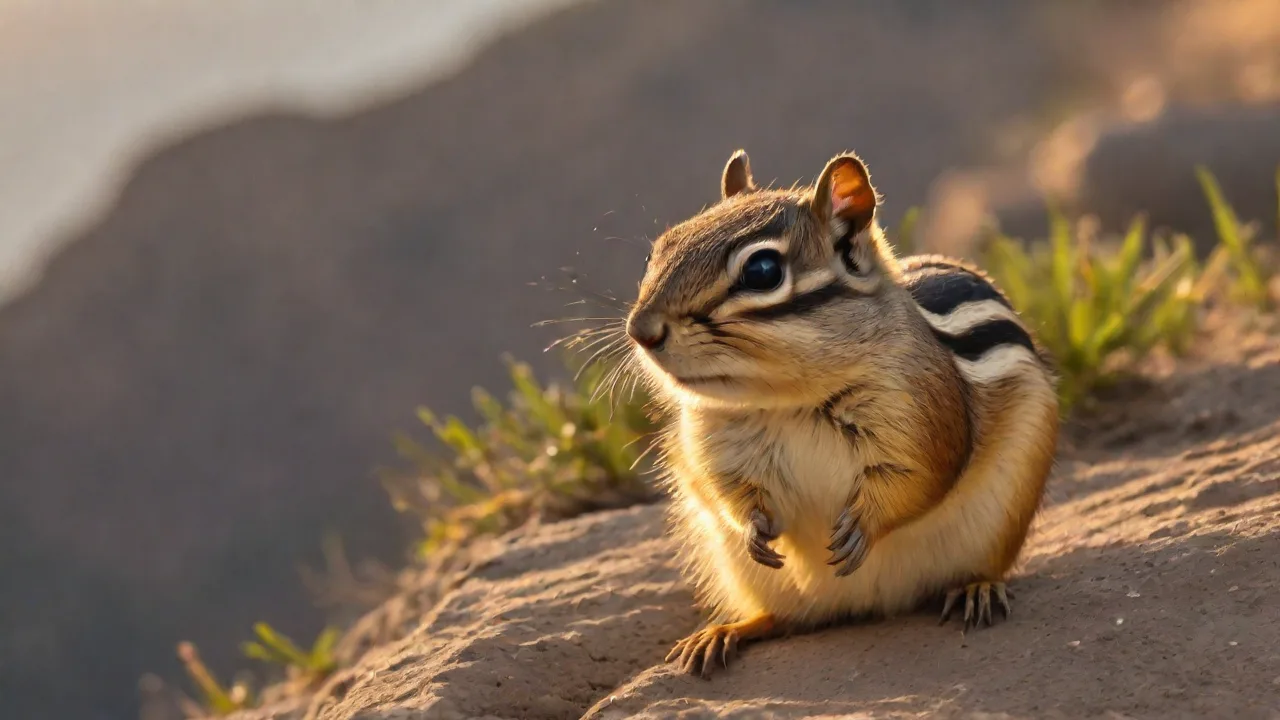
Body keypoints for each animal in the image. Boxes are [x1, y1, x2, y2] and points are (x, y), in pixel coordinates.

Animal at [622, 149, 1060, 678]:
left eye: (762, 271)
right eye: (661, 249)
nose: (641, 330)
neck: (786, 403)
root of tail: (864, 605)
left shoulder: (920, 412)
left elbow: (921, 476)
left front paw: (859, 530)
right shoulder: (710, 443)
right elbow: (727, 491)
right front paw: (754, 530)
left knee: (979, 570)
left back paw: (978, 590)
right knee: (782, 620)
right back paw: (723, 633)